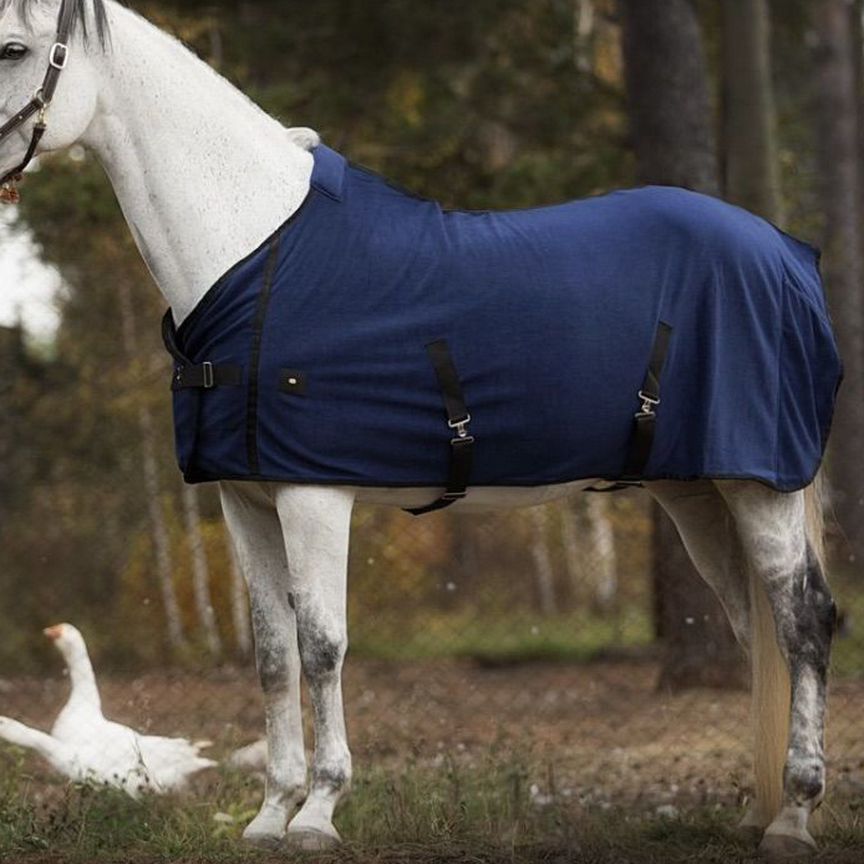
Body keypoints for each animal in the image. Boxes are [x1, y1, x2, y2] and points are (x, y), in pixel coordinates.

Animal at [0, 1, 839, 857]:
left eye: (12, 48)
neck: (255, 257)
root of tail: (790, 257)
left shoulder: (314, 494)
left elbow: (322, 647)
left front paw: (319, 812)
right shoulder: (244, 499)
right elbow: (272, 656)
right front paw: (270, 814)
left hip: (761, 488)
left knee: (803, 623)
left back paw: (795, 817)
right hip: (699, 496)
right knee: (754, 626)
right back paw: (758, 810)